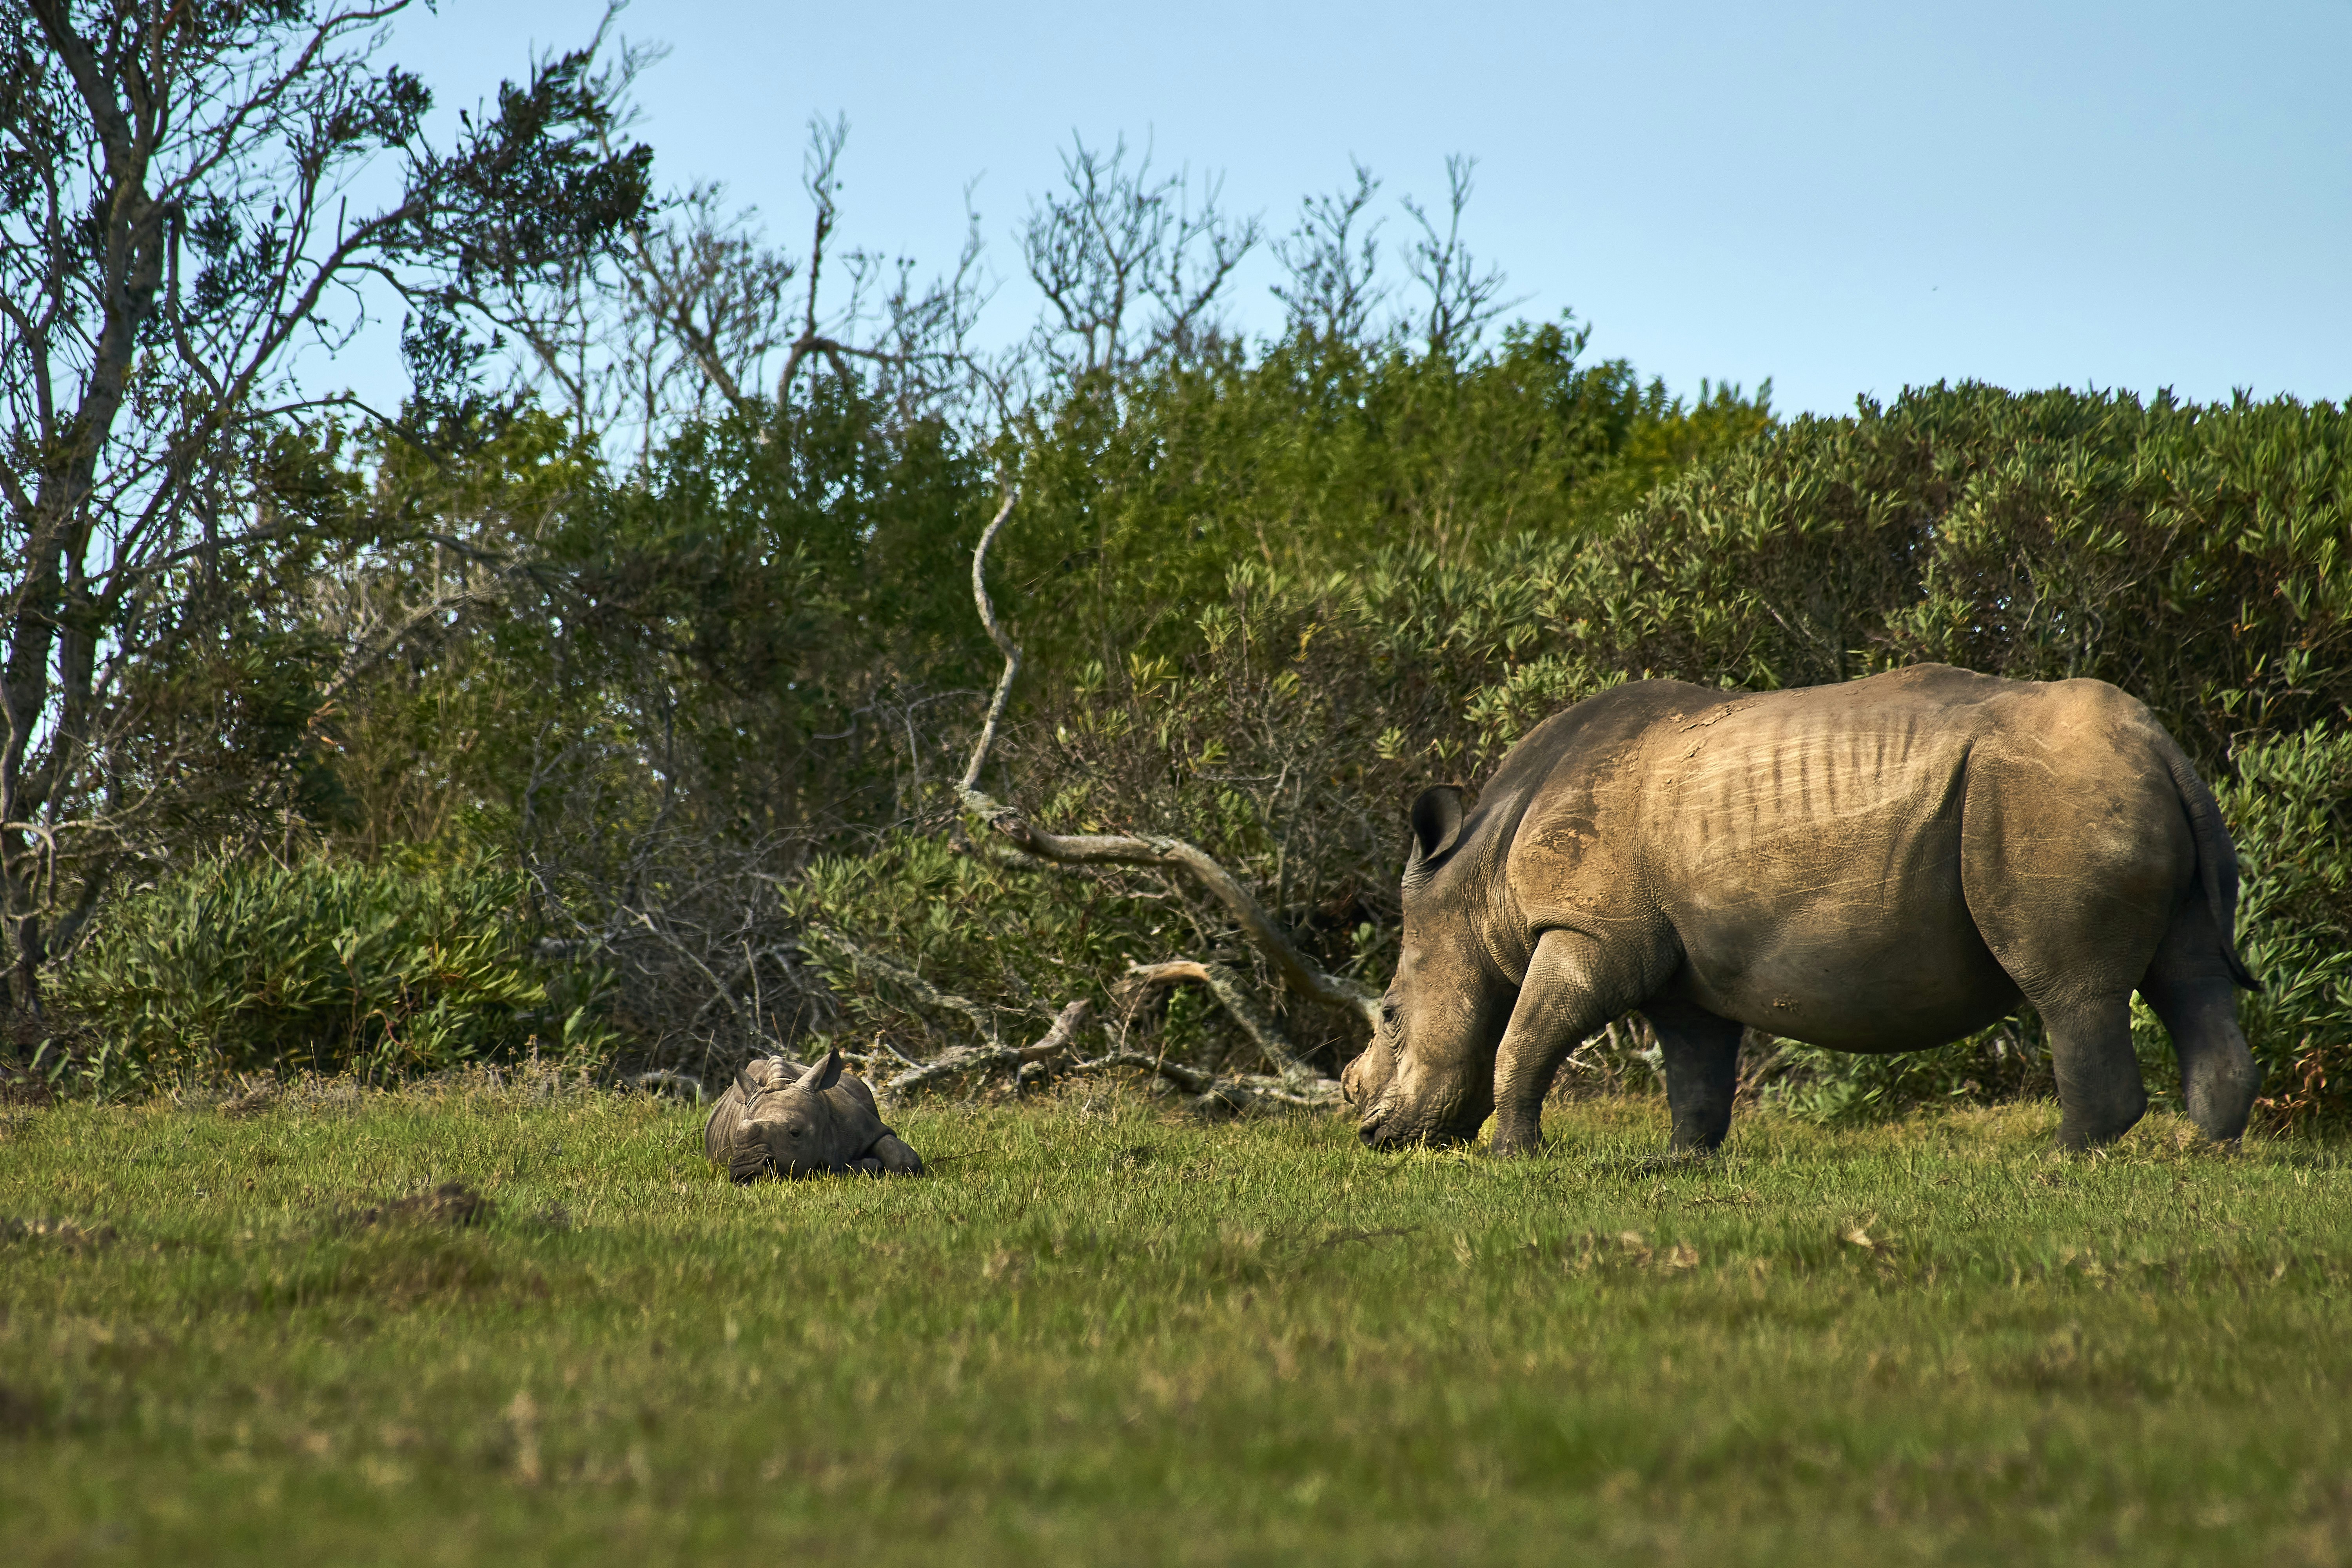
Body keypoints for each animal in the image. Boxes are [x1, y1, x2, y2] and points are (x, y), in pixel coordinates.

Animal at [1344, 665, 2261, 1156]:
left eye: (1389, 1014)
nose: (1370, 1129)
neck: (1475, 887)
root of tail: (2161, 745)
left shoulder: (1588, 930)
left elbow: (1525, 1038)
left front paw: (1516, 1155)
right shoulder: (1678, 965)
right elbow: (1696, 1068)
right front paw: (1677, 1163)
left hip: (2050, 797)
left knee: (2069, 990)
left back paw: (2064, 1158)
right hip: (2118, 790)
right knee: (2190, 973)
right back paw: (2206, 1151)